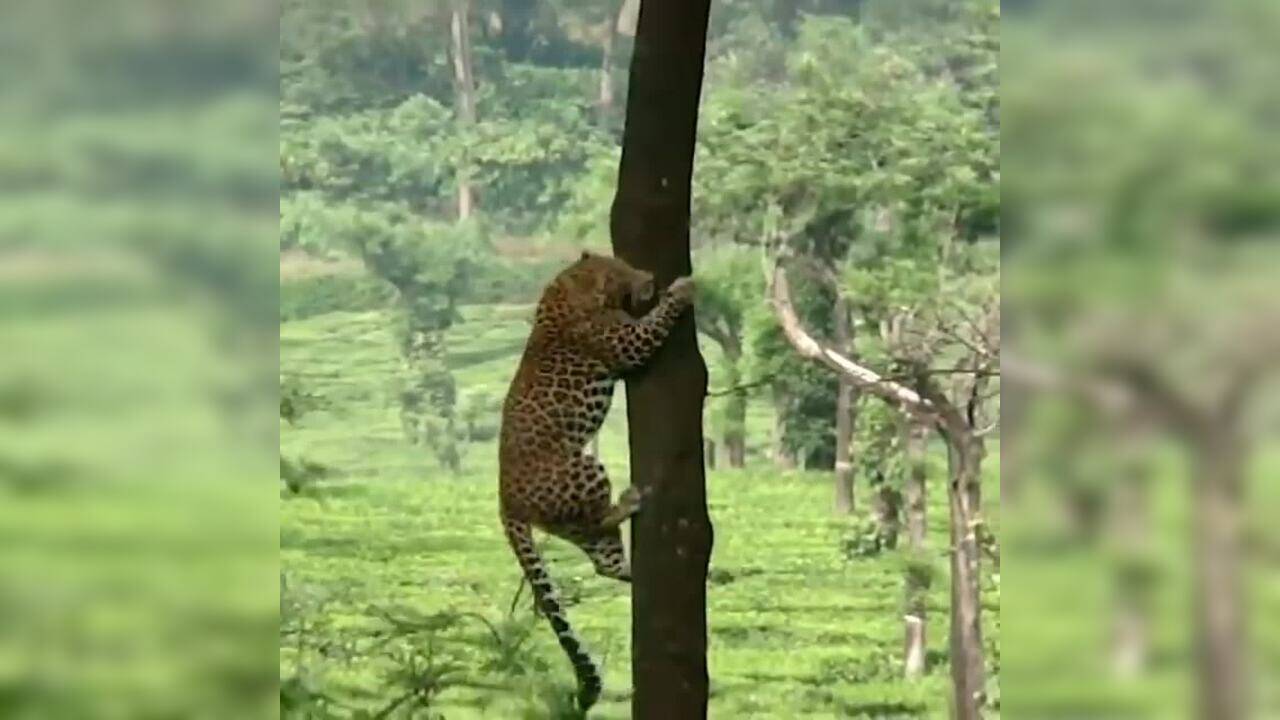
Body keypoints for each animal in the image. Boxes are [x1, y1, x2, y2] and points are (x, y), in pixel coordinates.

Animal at [499, 250, 695, 711]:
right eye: (620, 272)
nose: (648, 277)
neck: (567, 286)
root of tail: (503, 499)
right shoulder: (626, 342)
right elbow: (653, 323)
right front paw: (682, 289)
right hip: (584, 469)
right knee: (600, 519)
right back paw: (630, 500)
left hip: (568, 518)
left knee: (603, 559)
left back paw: (634, 571)